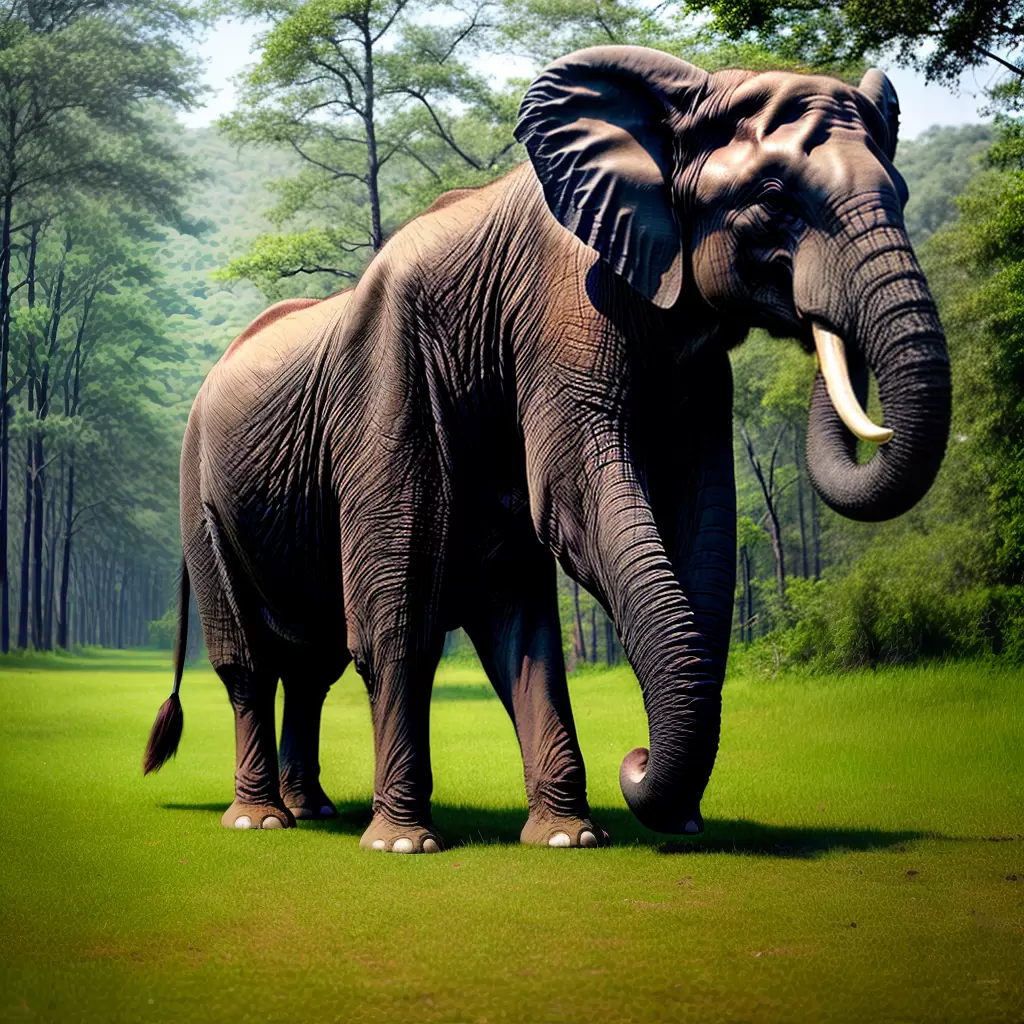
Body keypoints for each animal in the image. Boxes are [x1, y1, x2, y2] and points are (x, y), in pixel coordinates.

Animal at [144, 45, 951, 852]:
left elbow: (612, 580)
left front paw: (571, 838)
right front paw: (405, 846)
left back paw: (313, 812)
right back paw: (261, 821)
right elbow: (481, 565)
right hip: (198, 498)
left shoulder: (678, 362)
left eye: (903, 193)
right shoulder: (497, 340)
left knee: (312, 665)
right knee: (251, 663)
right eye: (776, 199)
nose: (635, 761)